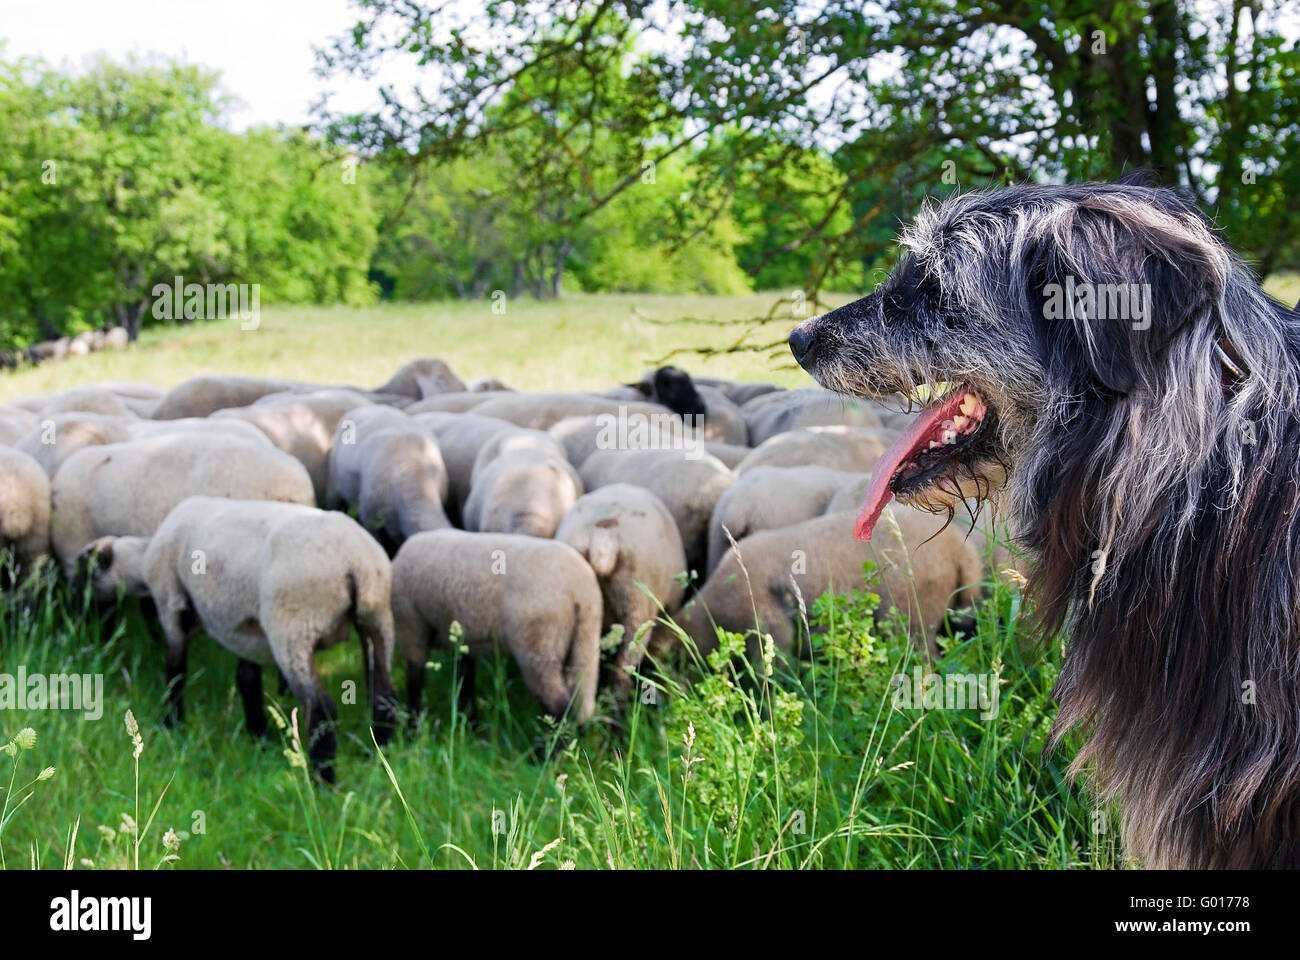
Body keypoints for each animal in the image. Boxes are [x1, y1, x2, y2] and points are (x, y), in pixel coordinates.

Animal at [76, 497, 398, 782]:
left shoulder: (170, 605)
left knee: (320, 706)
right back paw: (381, 753)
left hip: (293, 625)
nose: (77, 609)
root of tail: (355, 561)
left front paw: (171, 723)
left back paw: (323, 779)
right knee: (384, 693)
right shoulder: (245, 630)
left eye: (87, 572)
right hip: (376, 618)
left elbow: (175, 672)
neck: (143, 561)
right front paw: (258, 733)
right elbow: (247, 678)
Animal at [391, 529, 601, 724]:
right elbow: (465, 678)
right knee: (580, 701)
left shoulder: (410, 626)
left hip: (538, 645)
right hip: (585, 638)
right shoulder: (467, 640)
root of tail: (581, 592)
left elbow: (415, 682)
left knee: (558, 705)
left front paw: (413, 727)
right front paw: (469, 722)